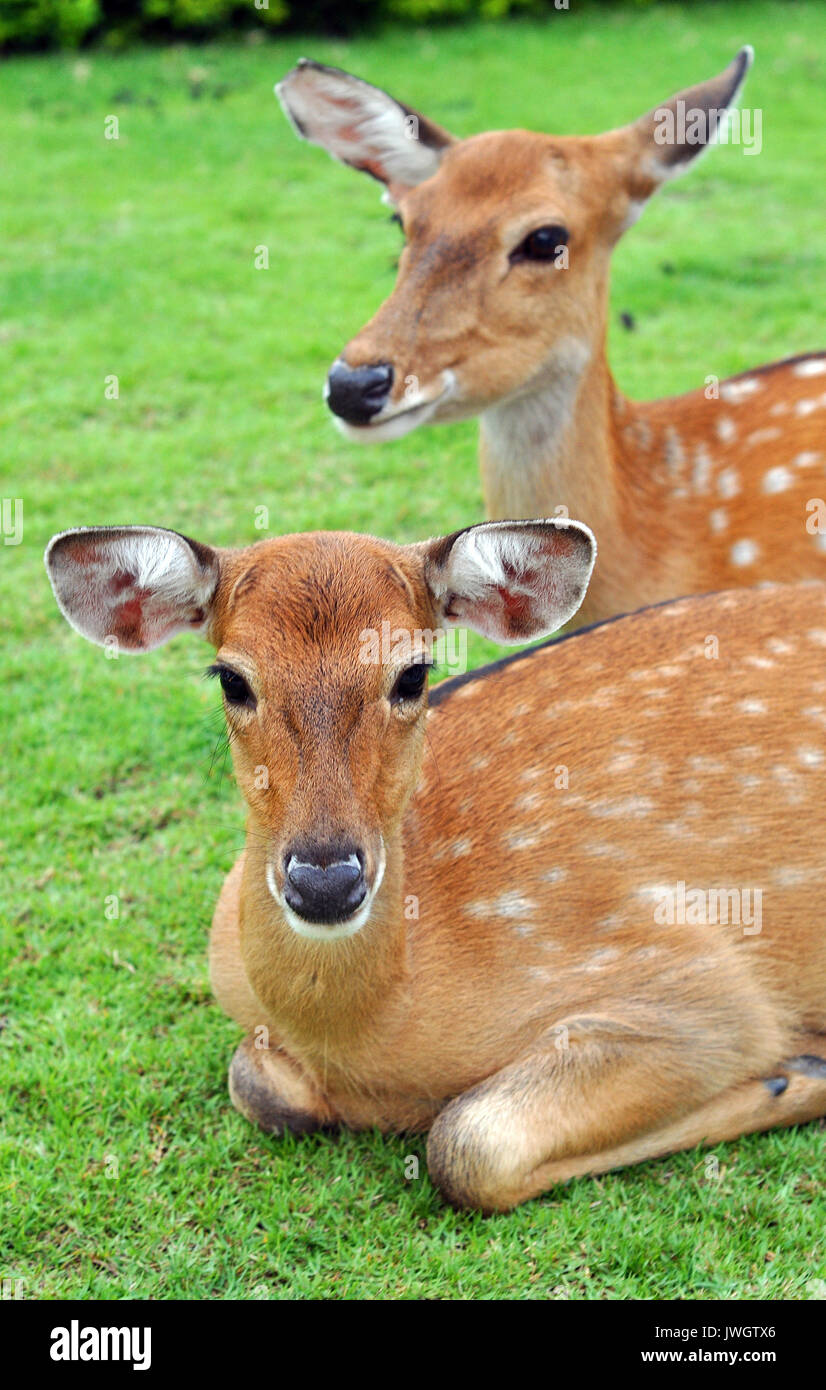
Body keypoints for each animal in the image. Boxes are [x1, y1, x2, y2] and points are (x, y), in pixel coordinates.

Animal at [46, 518, 826, 1211]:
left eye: (413, 674)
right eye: (231, 679)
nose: (325, 879)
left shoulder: (694, 982)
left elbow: (467, 1143)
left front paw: (794, 1073)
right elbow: (255, 1083)